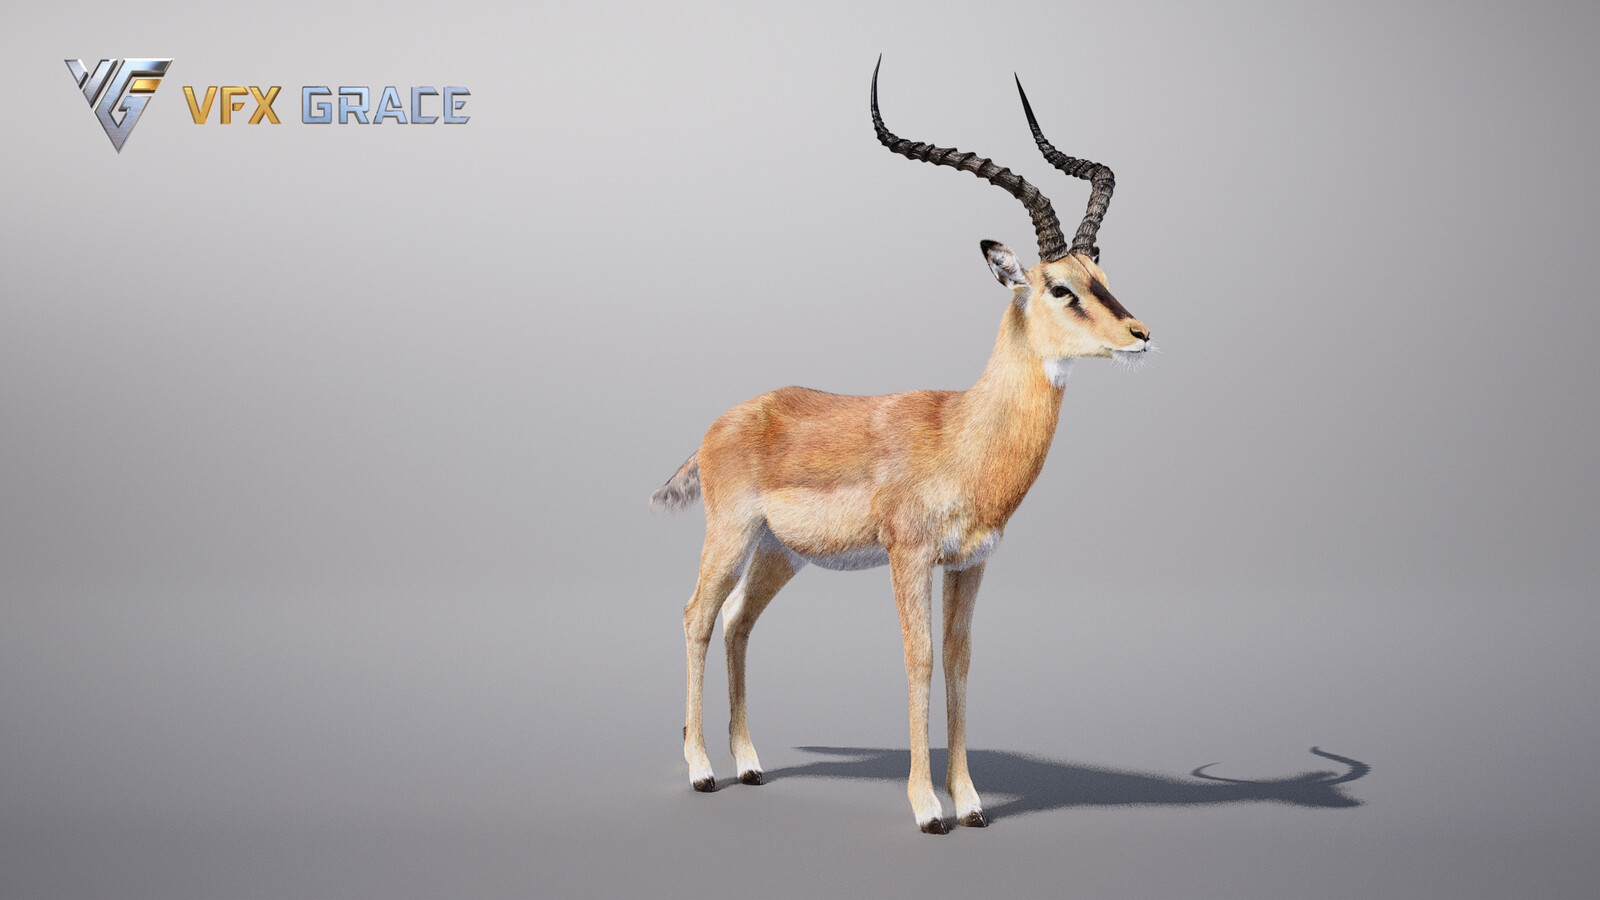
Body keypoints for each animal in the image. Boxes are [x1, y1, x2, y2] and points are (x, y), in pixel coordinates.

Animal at [651, 59, 1153, 834]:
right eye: (1060, 287)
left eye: (1102, 275)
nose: (1140, 335)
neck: (963, 432)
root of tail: (722, 422)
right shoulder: (908, 555)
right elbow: (918, 661)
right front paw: (927, 808)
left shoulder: (970, 563)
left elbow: (959, 662)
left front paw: (971, 803)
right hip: (730, 535)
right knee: (696, 616)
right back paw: (703, 771)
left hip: (779, 553)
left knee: (737, 623)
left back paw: (751, 764)